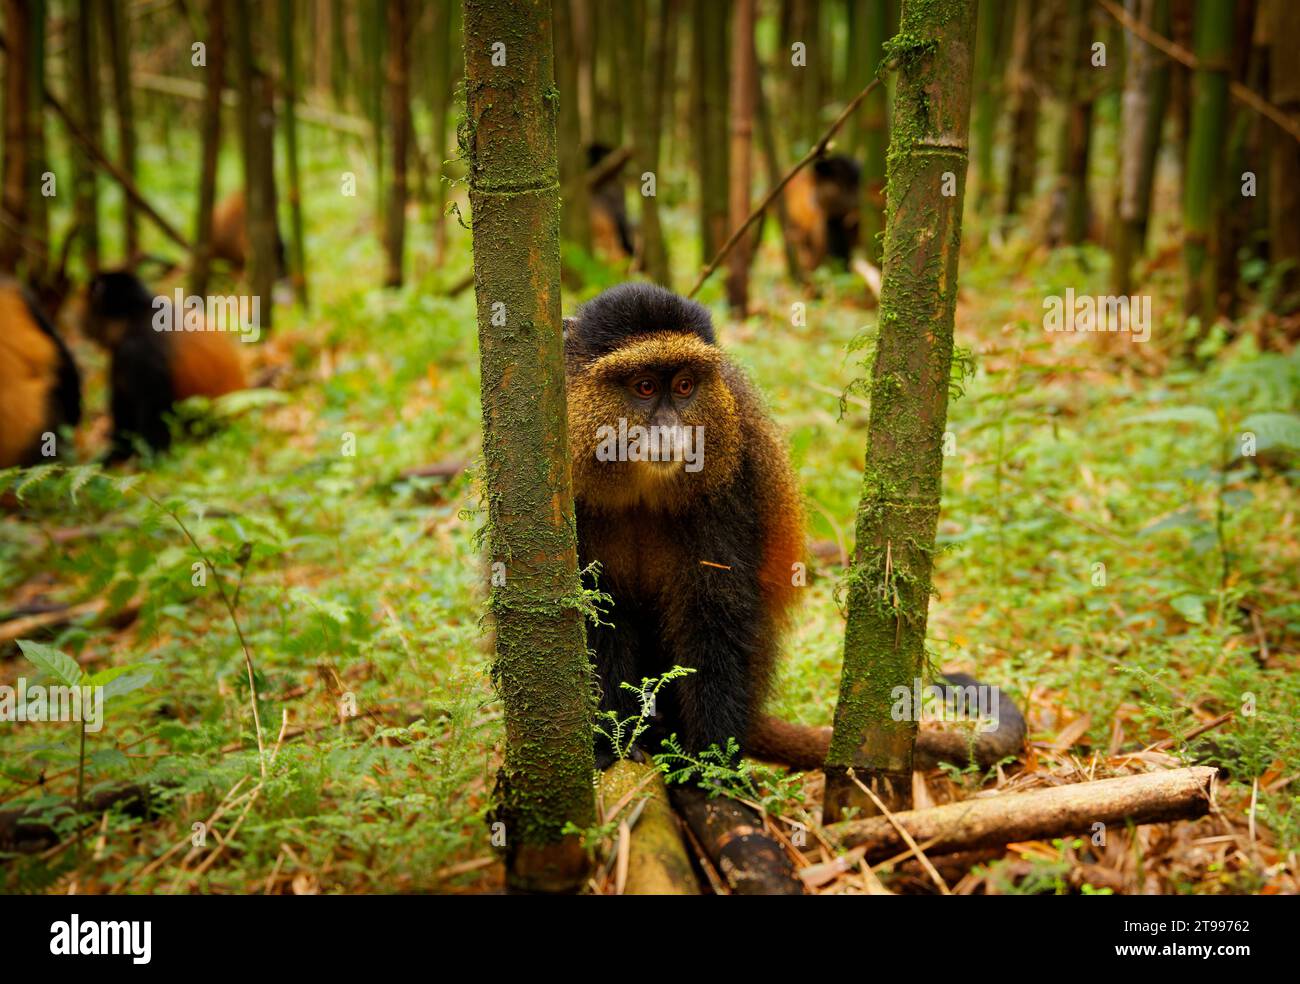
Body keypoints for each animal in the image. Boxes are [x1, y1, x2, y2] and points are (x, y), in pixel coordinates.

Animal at [564, 282, 1025, 771]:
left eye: (685, 386)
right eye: (645, 387)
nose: (672, 432)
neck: (641, 488)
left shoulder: (734, 477)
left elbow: (716, 614)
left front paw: (711, 765)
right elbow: (598, 616)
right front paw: (610, 746)